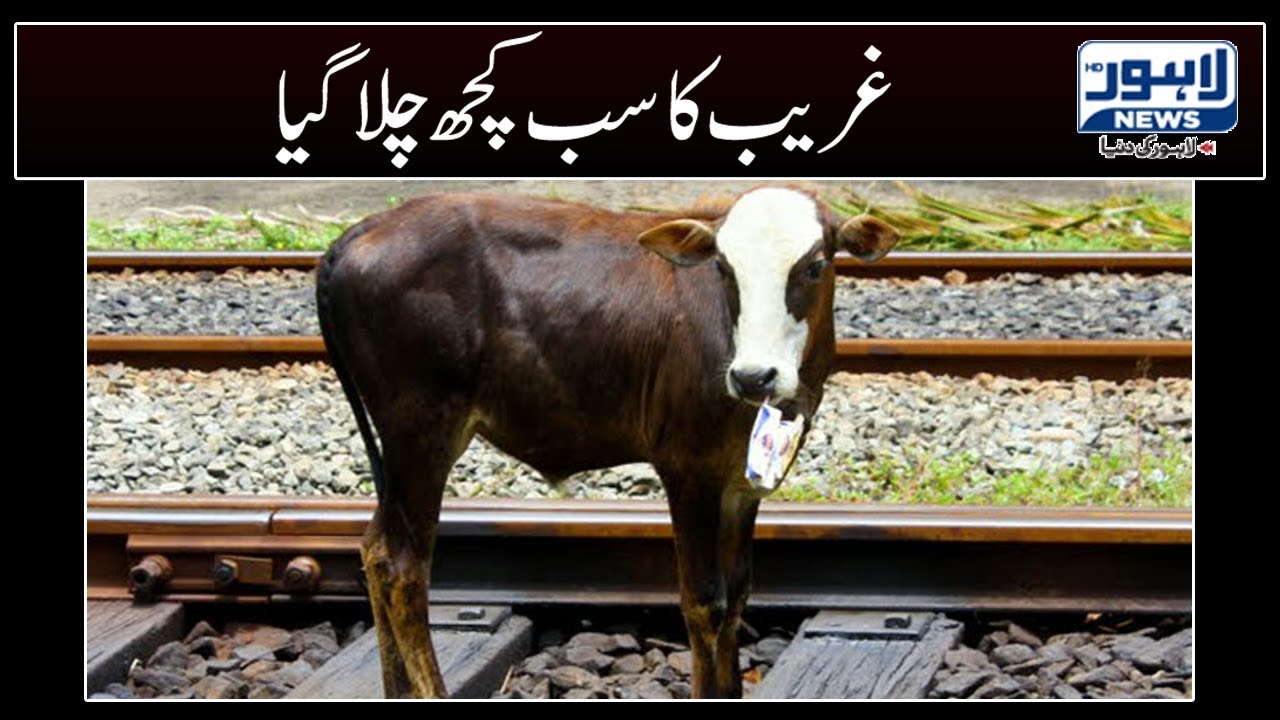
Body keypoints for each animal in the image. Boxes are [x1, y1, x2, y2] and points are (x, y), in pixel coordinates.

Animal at [316, 187, 900, 698]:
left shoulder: (741, 483)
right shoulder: (688, 469)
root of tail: (361, 231)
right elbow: (704, 601)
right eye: (723, 267)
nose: (754, 376)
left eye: (815, 265)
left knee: (376, 548)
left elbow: (737, 595)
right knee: (404, 565)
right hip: (420, 428)